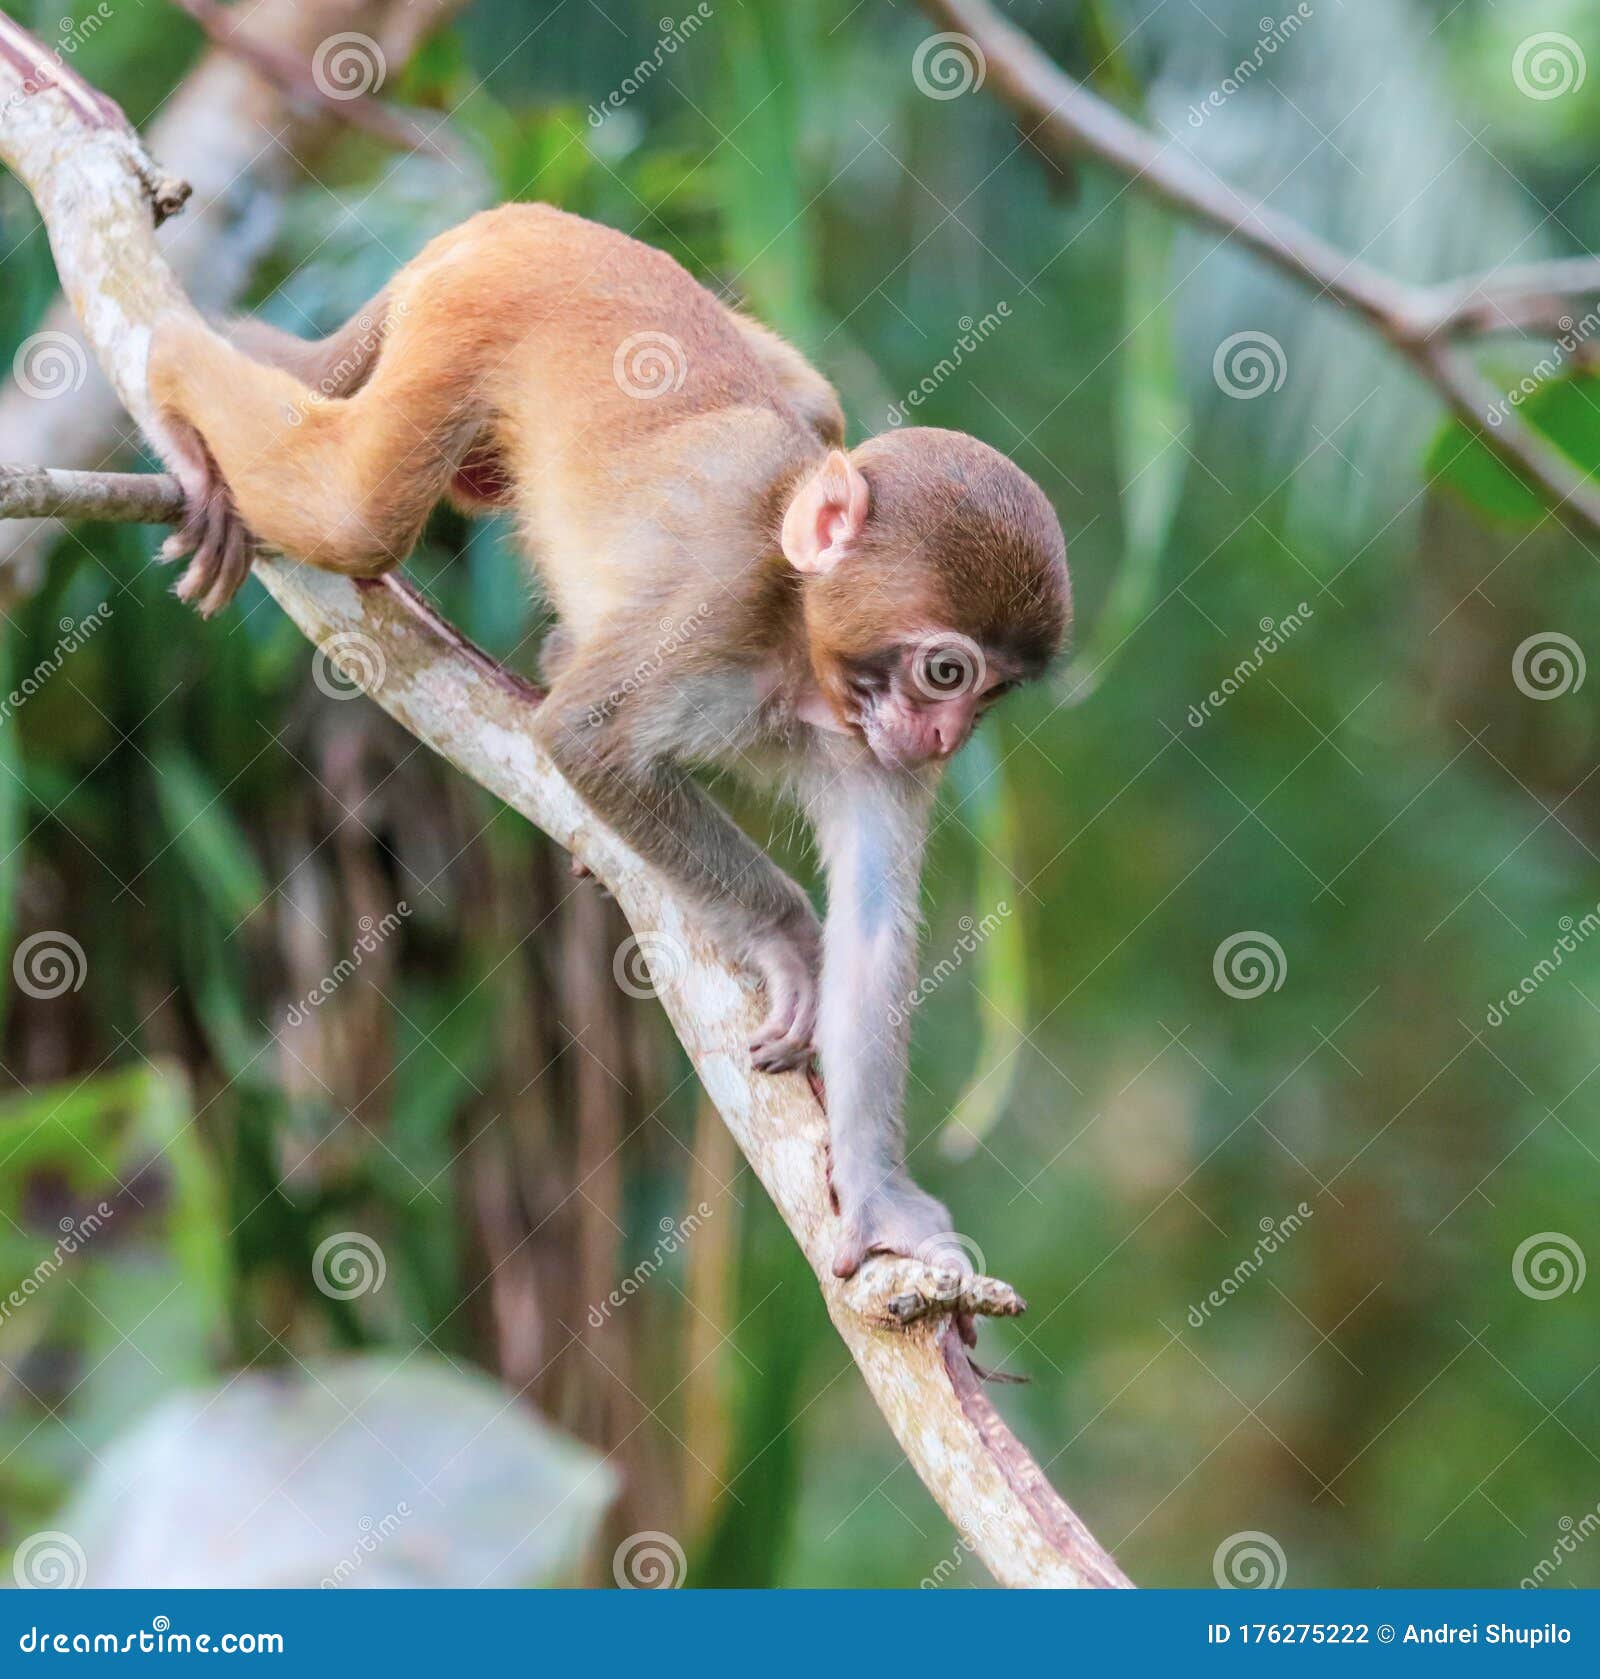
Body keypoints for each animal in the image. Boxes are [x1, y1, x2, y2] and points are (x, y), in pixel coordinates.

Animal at [147, 203, 1070, 1283]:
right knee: (356, 516)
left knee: (815, 403)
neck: (794, 648)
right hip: (471, 311)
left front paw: (879, 1197)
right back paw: (169, 365)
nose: (945, 736)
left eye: (990, 693)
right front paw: (785, 935)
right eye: (949, 673)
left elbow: (876, 930)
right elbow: (584, 740)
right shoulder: (715, 588)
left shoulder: (868, 746)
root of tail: (522, 216)